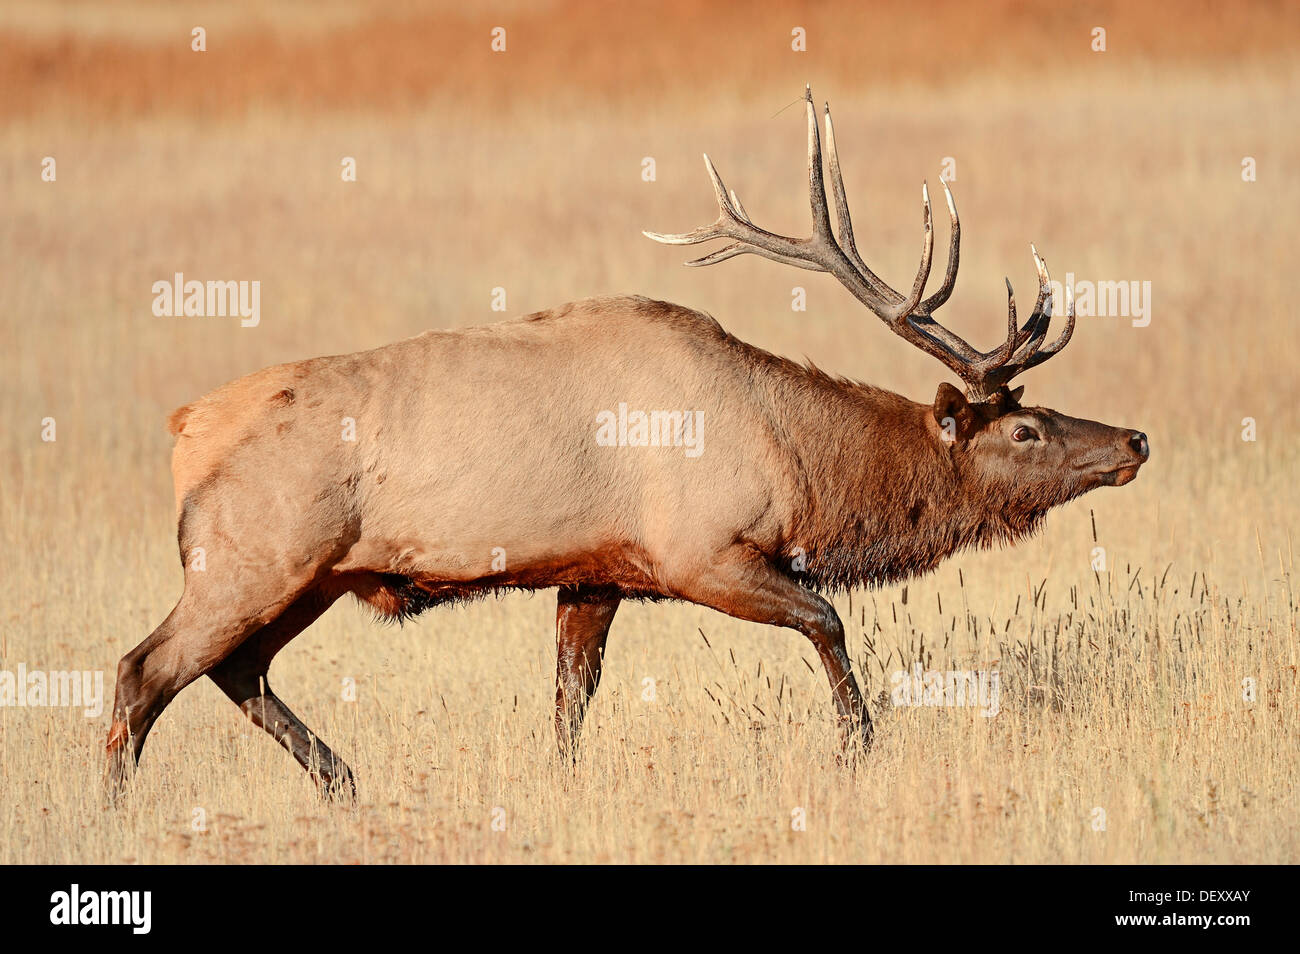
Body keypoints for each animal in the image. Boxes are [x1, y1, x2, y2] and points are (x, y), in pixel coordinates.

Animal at [106, 88, 1148, 801]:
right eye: (1026, 428)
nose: (1133, 438)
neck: (801, 465)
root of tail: (183, 431)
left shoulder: (596, 571)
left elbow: (572, 700)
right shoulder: (703, 552)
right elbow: (828, 621)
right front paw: (858, 747)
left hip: (312, 577)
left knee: (236, 670)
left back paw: (344, 780)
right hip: (251, 557)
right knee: (143, 671)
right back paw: (125, 805)